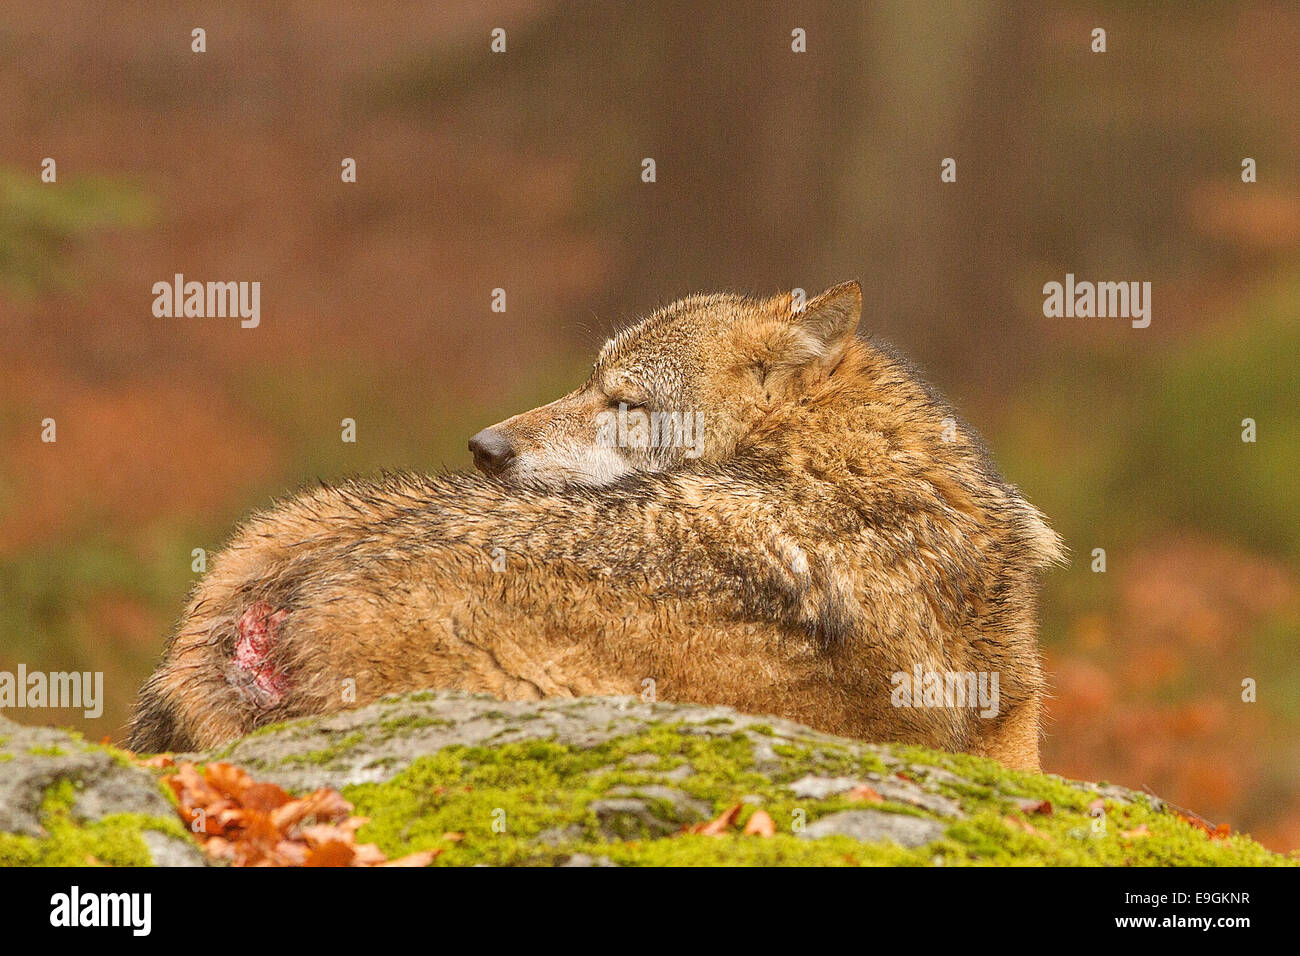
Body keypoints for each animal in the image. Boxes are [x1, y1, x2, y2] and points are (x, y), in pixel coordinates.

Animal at [126, 281, 1064, 770]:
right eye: (588, 382)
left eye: (624, 402)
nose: (484, 447)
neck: (836, 464)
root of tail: (271, 597)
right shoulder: (1003, 735)